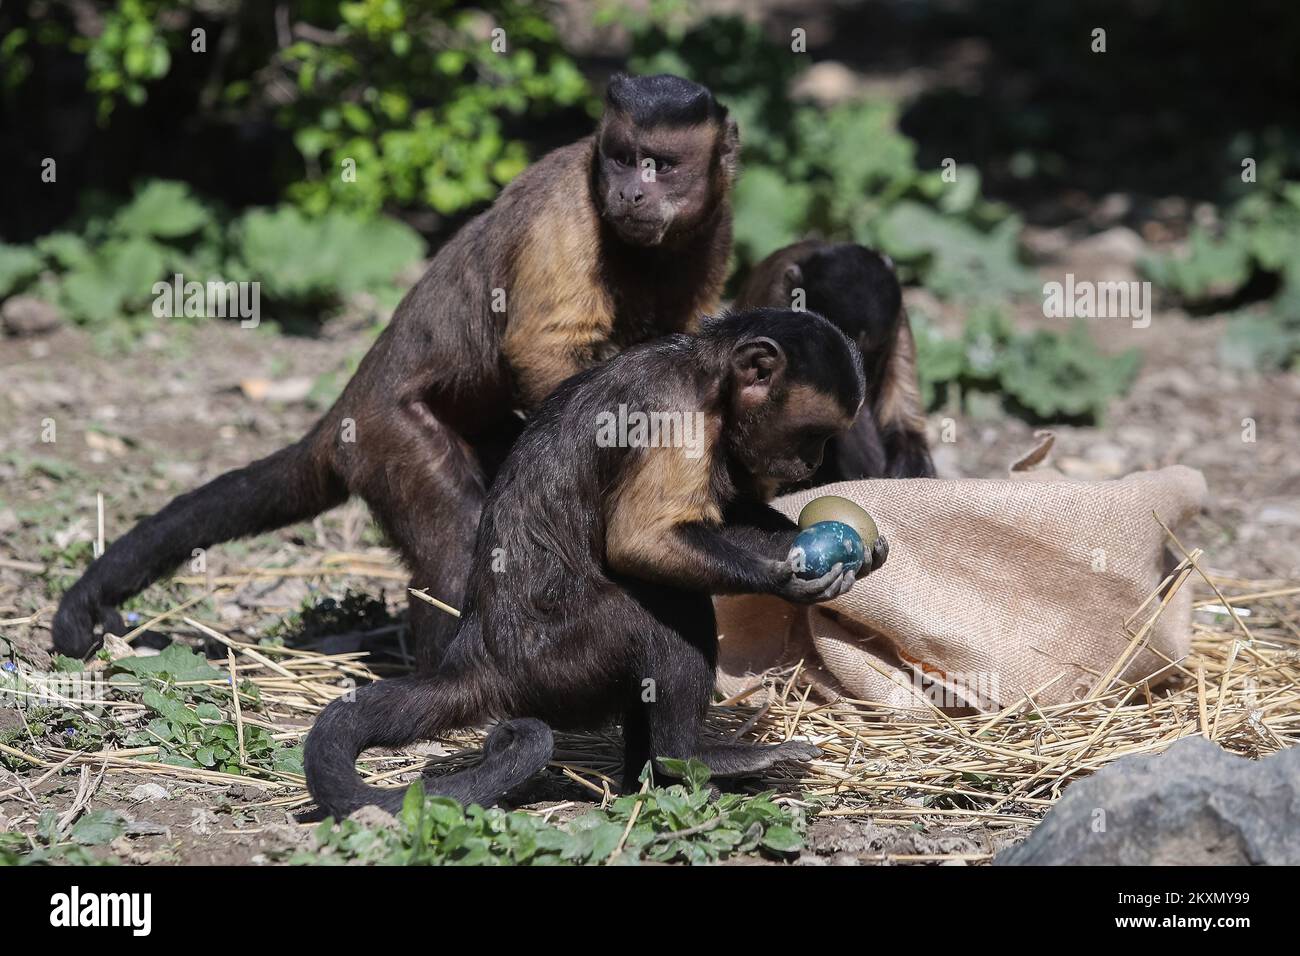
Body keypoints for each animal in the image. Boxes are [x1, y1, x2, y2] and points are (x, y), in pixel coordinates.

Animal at [52, 74, 740, 670]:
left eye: (661, 166)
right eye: (623, 158)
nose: (630, 192)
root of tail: (344, 407)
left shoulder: (716, 226)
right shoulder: (567, 212)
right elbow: (543, 348)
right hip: (389, 437)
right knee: (458, 535)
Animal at [303, 308, 890, 816]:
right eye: (812, 435)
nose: (812, 462)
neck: (706, 374)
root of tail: (478, 657)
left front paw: (861, 552)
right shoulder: (676, 410)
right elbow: (640, 543)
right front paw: (787, 581)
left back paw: (654, 779)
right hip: (561, 662)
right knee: (665, 609)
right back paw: (689, 755)